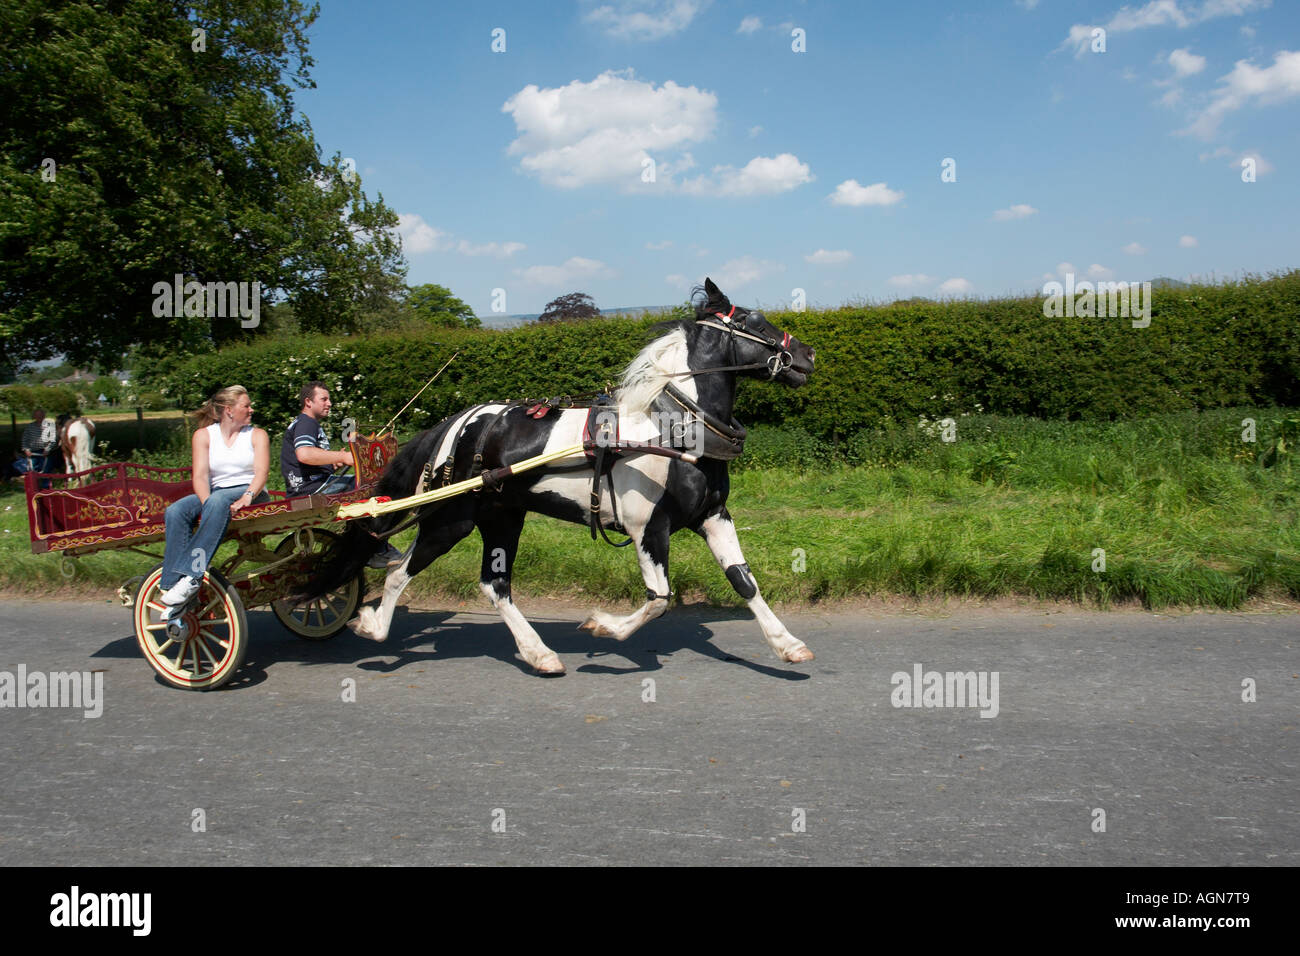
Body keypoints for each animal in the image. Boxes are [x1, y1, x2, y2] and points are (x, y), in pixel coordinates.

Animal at [306, 278, 817, 674]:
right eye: (754, 320)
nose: (807, 353)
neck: (670, 428)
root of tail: (453, 426)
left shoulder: (713, 516)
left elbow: (743, 581)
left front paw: (787, 644)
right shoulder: (647, 528)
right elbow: (659, 598)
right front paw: (603, 625)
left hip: (501, 517)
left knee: (493, 584)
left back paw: (539, 654)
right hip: (451, 520)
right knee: (401, 571)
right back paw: (373, 625)